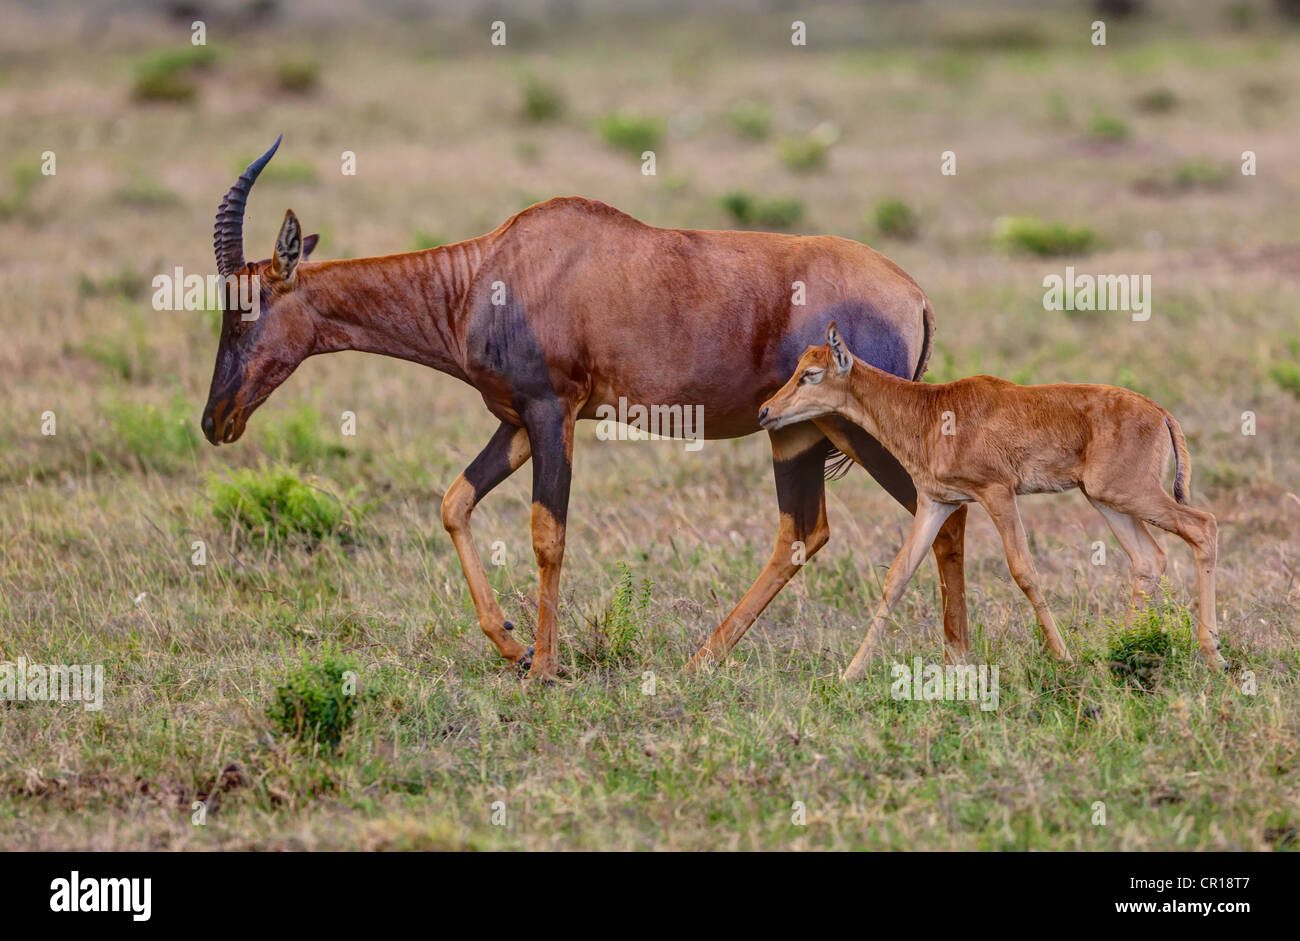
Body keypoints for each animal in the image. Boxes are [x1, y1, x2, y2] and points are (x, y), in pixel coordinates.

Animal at [203, 135, 973, 681]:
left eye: (245, 308)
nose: (215, 421)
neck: (488, 271)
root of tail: (915, 295)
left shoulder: (552, 411)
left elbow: (548, 532)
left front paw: (544, 668)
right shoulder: (517, 420)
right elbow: (455, 501)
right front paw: (511, 646)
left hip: (858, 432)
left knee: (934, 511)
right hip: (795, 433)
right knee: (805, 533)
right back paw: (705, 660)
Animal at [759, 323, 1225, 681]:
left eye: (811, 373)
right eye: (797, 367)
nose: (765, 412)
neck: (931, 410)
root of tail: (1159, 411)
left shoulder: (997, 492)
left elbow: (1024, 571)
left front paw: (1064, 658)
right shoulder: (936, 503)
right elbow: (897, 577)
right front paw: (848, 675)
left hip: (1127, 492)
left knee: (1203, 526)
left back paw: (1212, 655)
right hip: (1106, 499)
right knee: (1148, 558)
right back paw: (1121, 650)